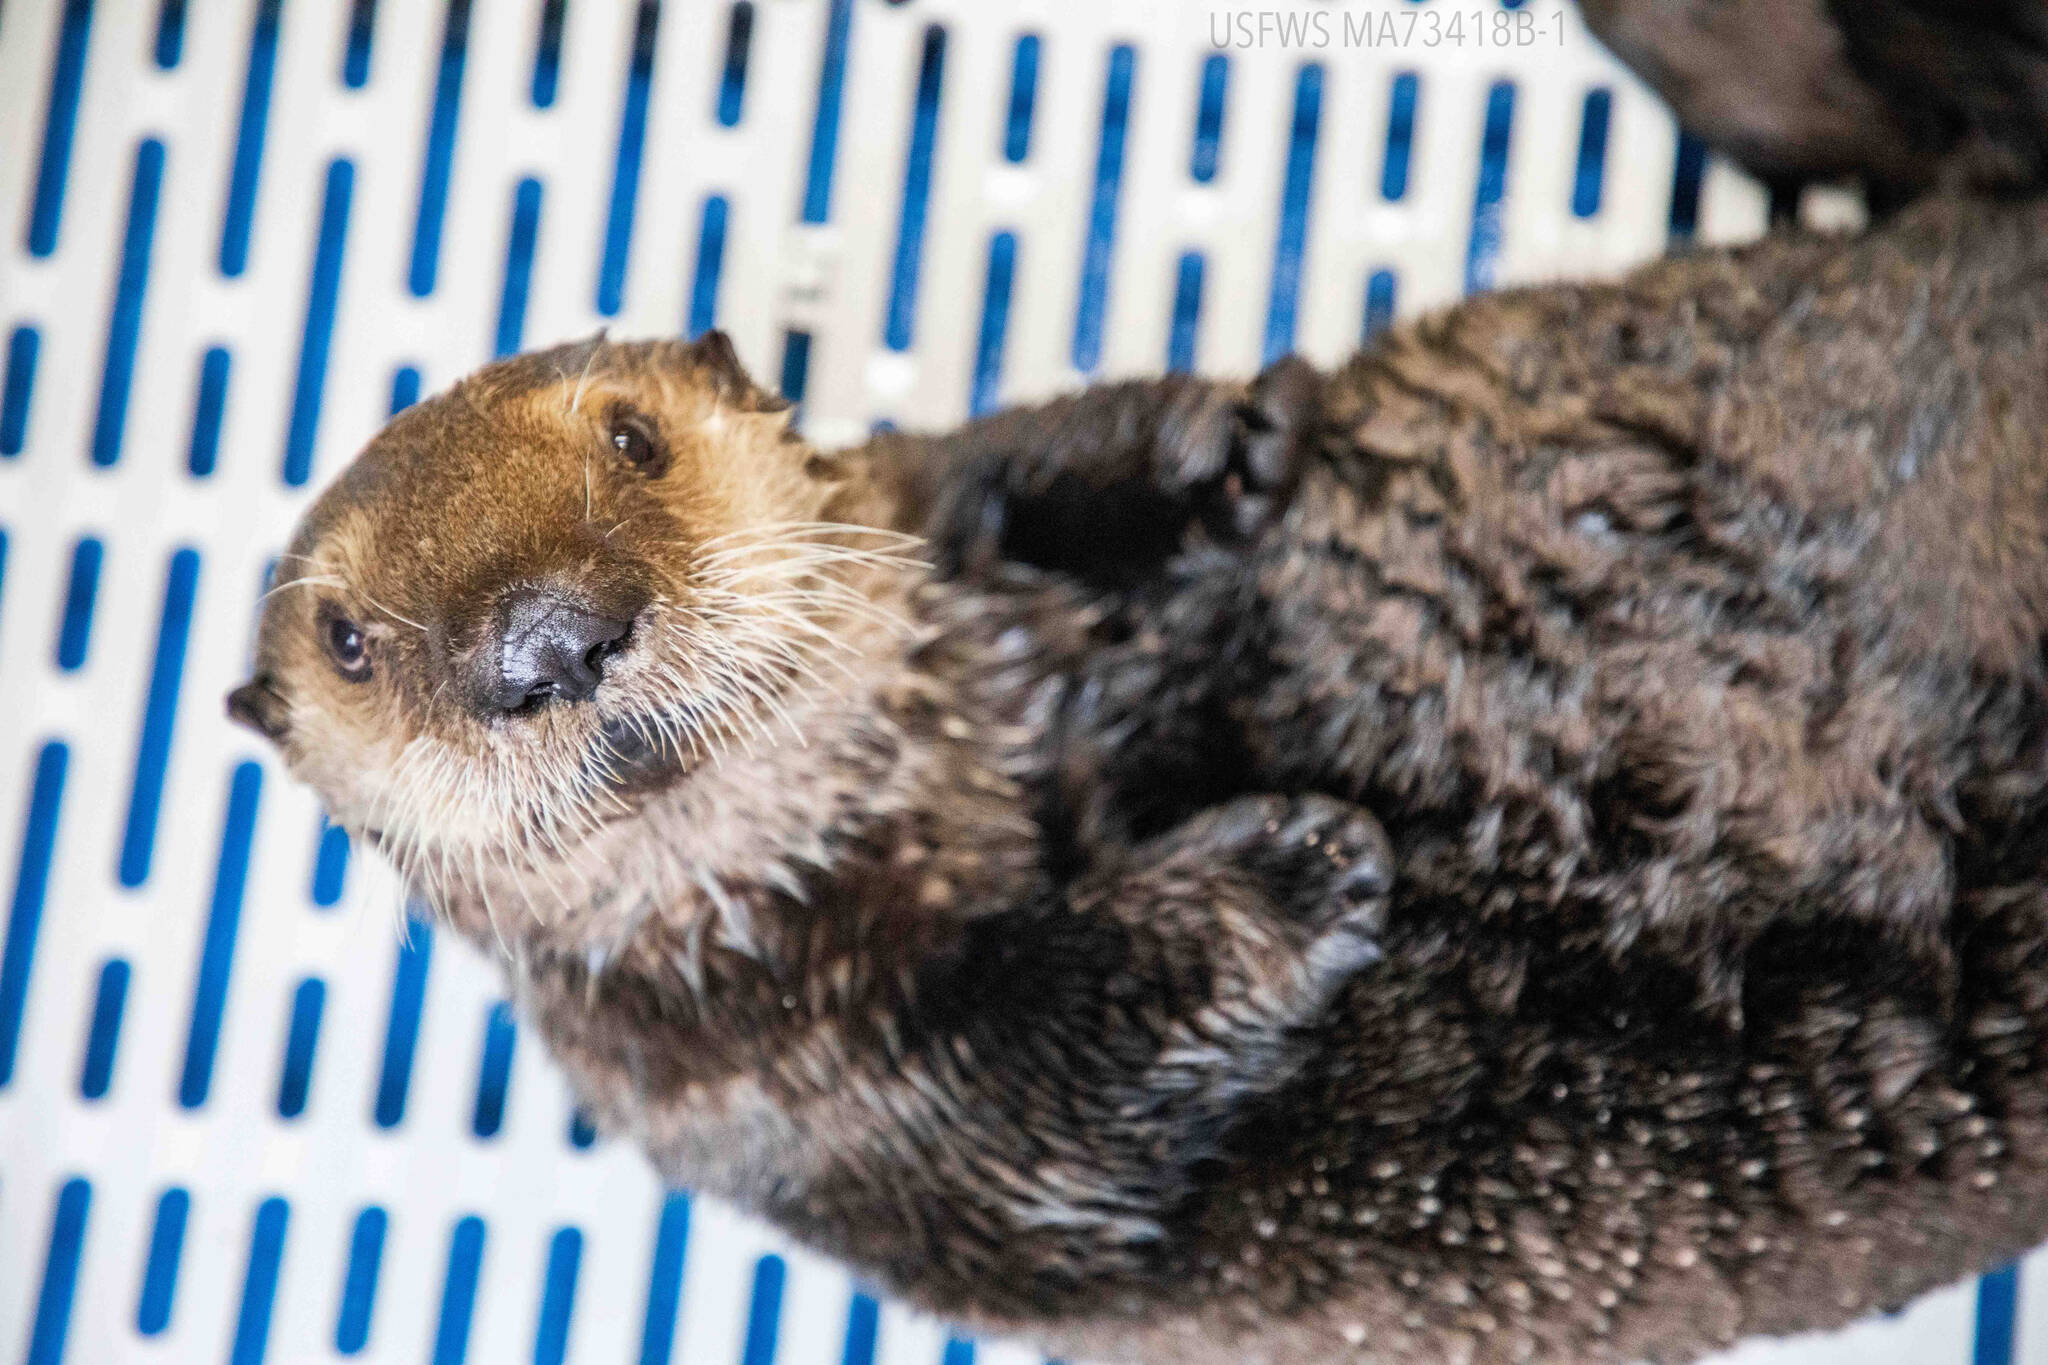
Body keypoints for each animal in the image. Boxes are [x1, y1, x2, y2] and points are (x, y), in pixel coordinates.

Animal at [229, 196, 2048, 1365]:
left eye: (632, 439)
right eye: (348, 640)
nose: (546, 637)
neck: (965, 764)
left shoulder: (938, 526)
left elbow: (988, 478)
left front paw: (1213, 441)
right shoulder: (780, 1098)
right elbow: (1039, 1068)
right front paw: (1303, 861)